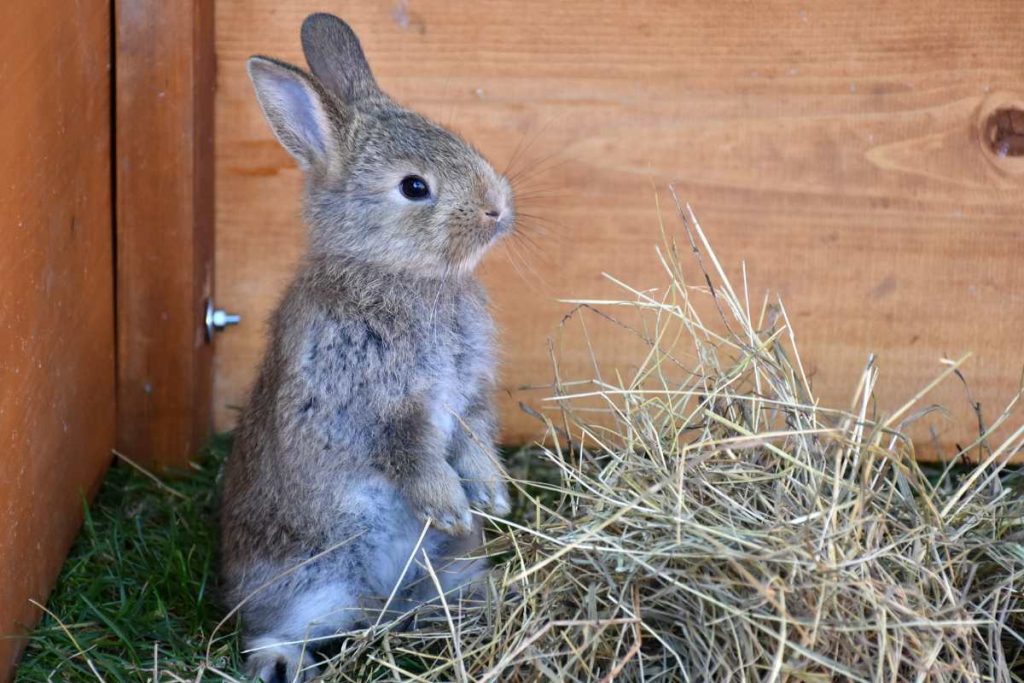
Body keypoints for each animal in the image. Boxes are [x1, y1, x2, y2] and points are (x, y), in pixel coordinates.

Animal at [219, 13, 514, 682]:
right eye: (414, 187)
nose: (497, 208)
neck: (396, 274)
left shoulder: (470, 398)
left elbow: (476, 438)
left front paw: (493, 497)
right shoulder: (369, 404)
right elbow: (409, 454)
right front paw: (452, 506)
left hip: (449, 568)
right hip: (310, 580)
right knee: (271, 629)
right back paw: (283, 663)